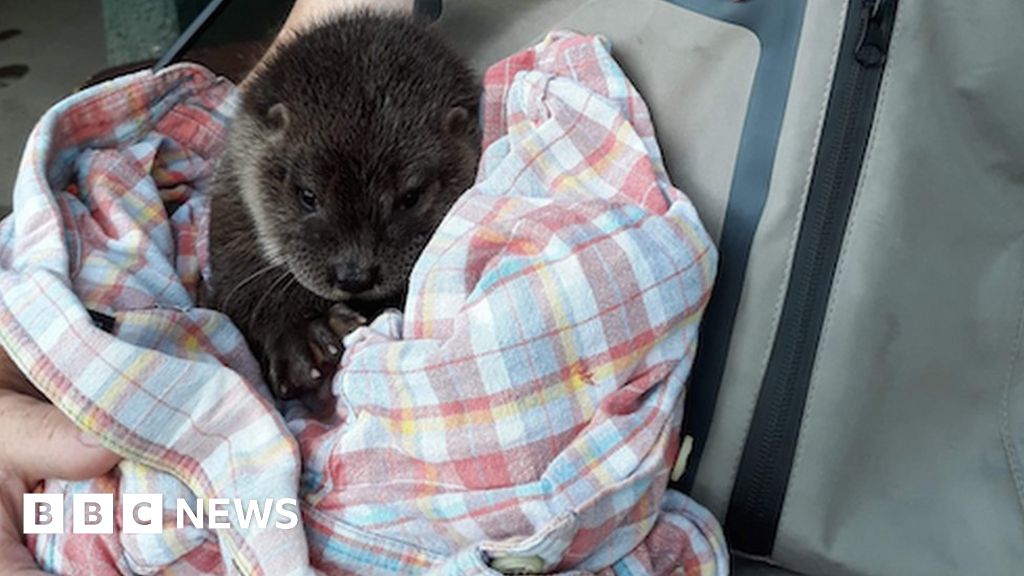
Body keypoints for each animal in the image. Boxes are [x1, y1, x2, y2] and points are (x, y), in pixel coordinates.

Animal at [207, 13, 481, 403]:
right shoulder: (231, 206)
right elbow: (240, 288)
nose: (354, 276)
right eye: (308, 195)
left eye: (410, 197)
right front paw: (302, 338)